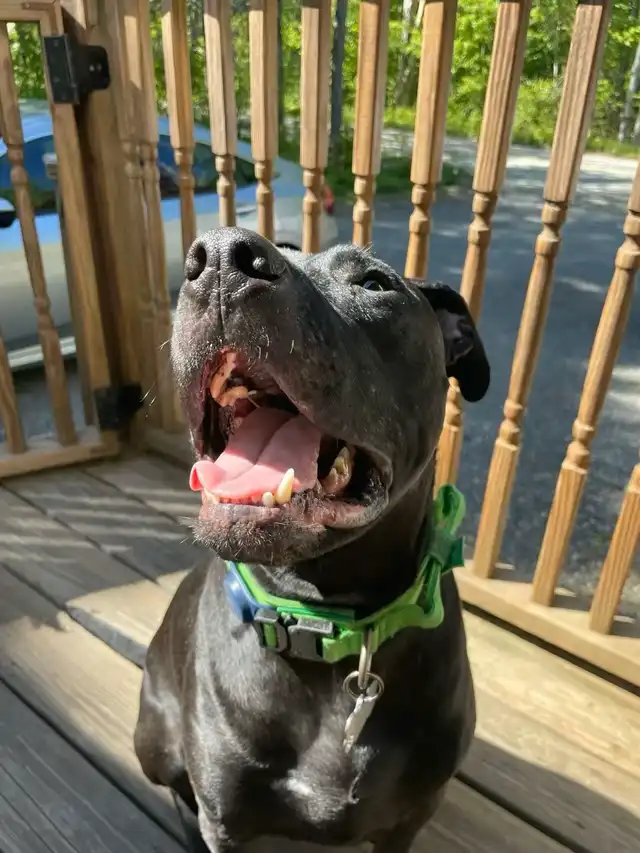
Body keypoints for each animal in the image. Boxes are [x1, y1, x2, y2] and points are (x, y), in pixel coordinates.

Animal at [134, 227, 490, 853]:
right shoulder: (227, 821)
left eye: (374, 283)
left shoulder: (408, 817)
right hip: (154, 739)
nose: (221, 257)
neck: (325, 621)